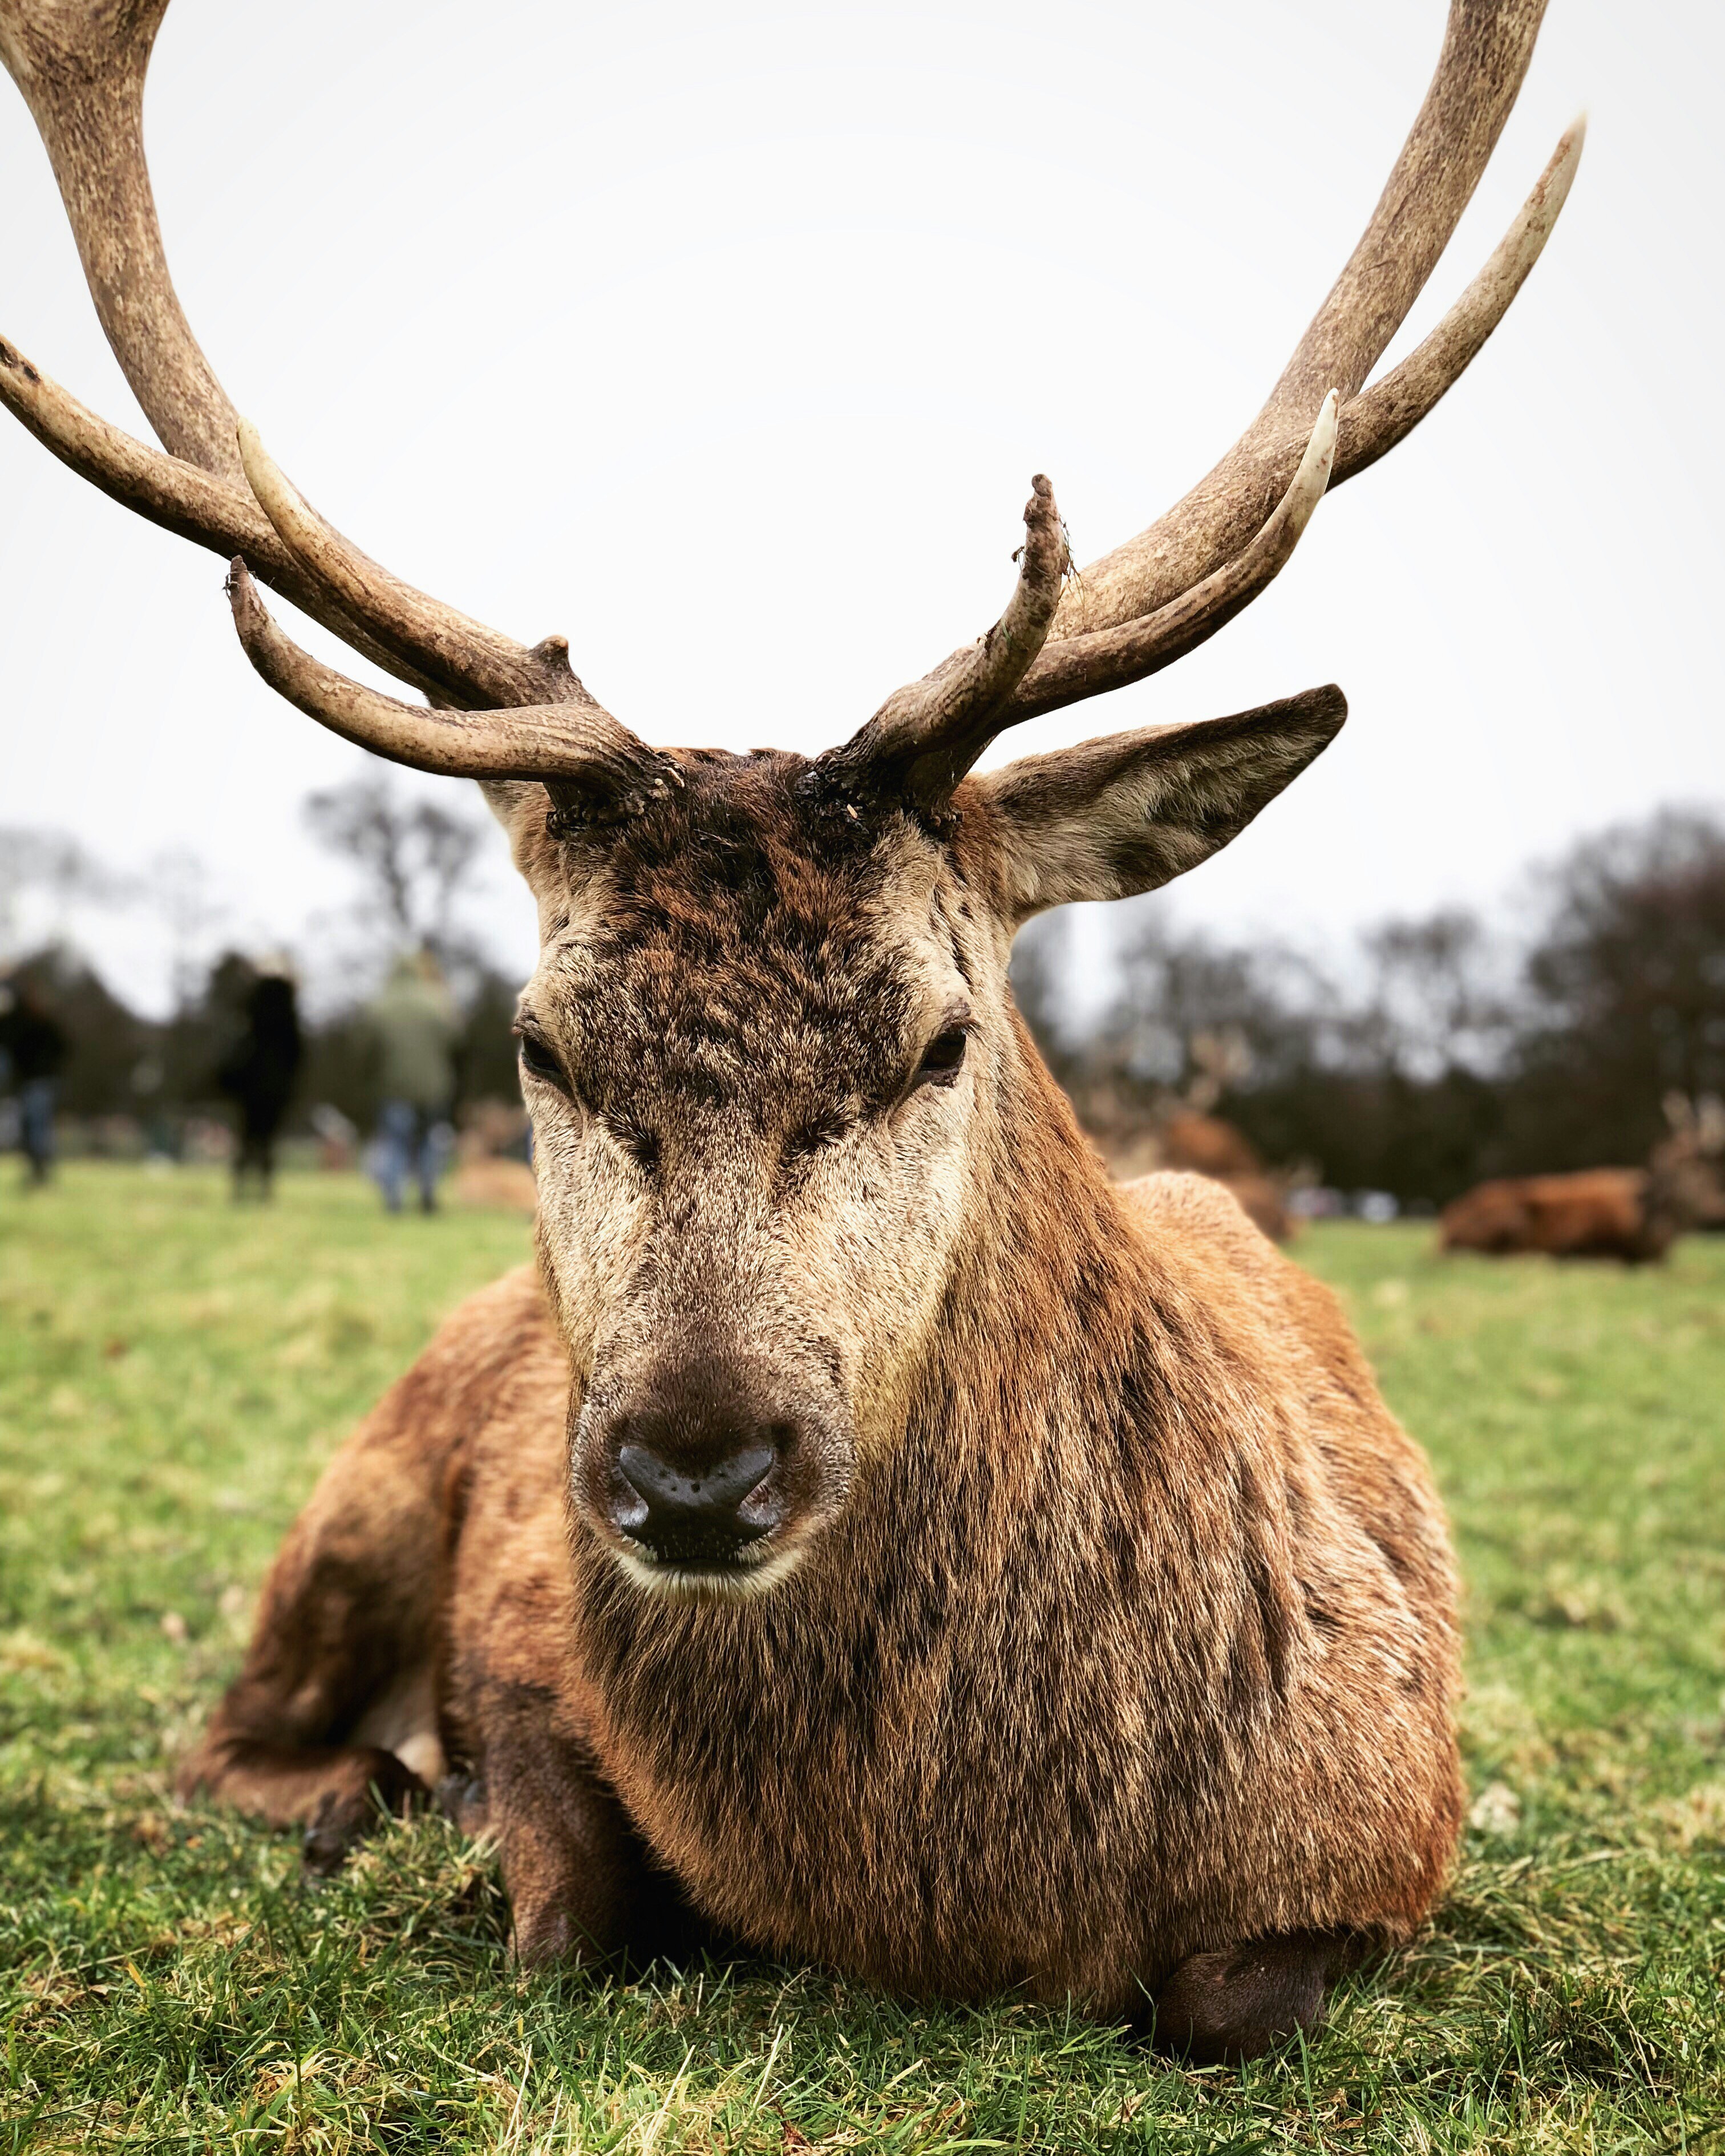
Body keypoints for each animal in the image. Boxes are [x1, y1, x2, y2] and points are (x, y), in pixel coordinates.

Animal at [1, 0, 1580, 2064]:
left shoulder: (1399, 1809)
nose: (691, 1472)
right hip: (354, 1499)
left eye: (941, 1039)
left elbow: (1228, 1996)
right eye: (541, 1044)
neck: (934, 1899)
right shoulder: (524, 1610)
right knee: (222, 1741)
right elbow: (566, 1913)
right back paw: (360, 1784)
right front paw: (465, 1815)